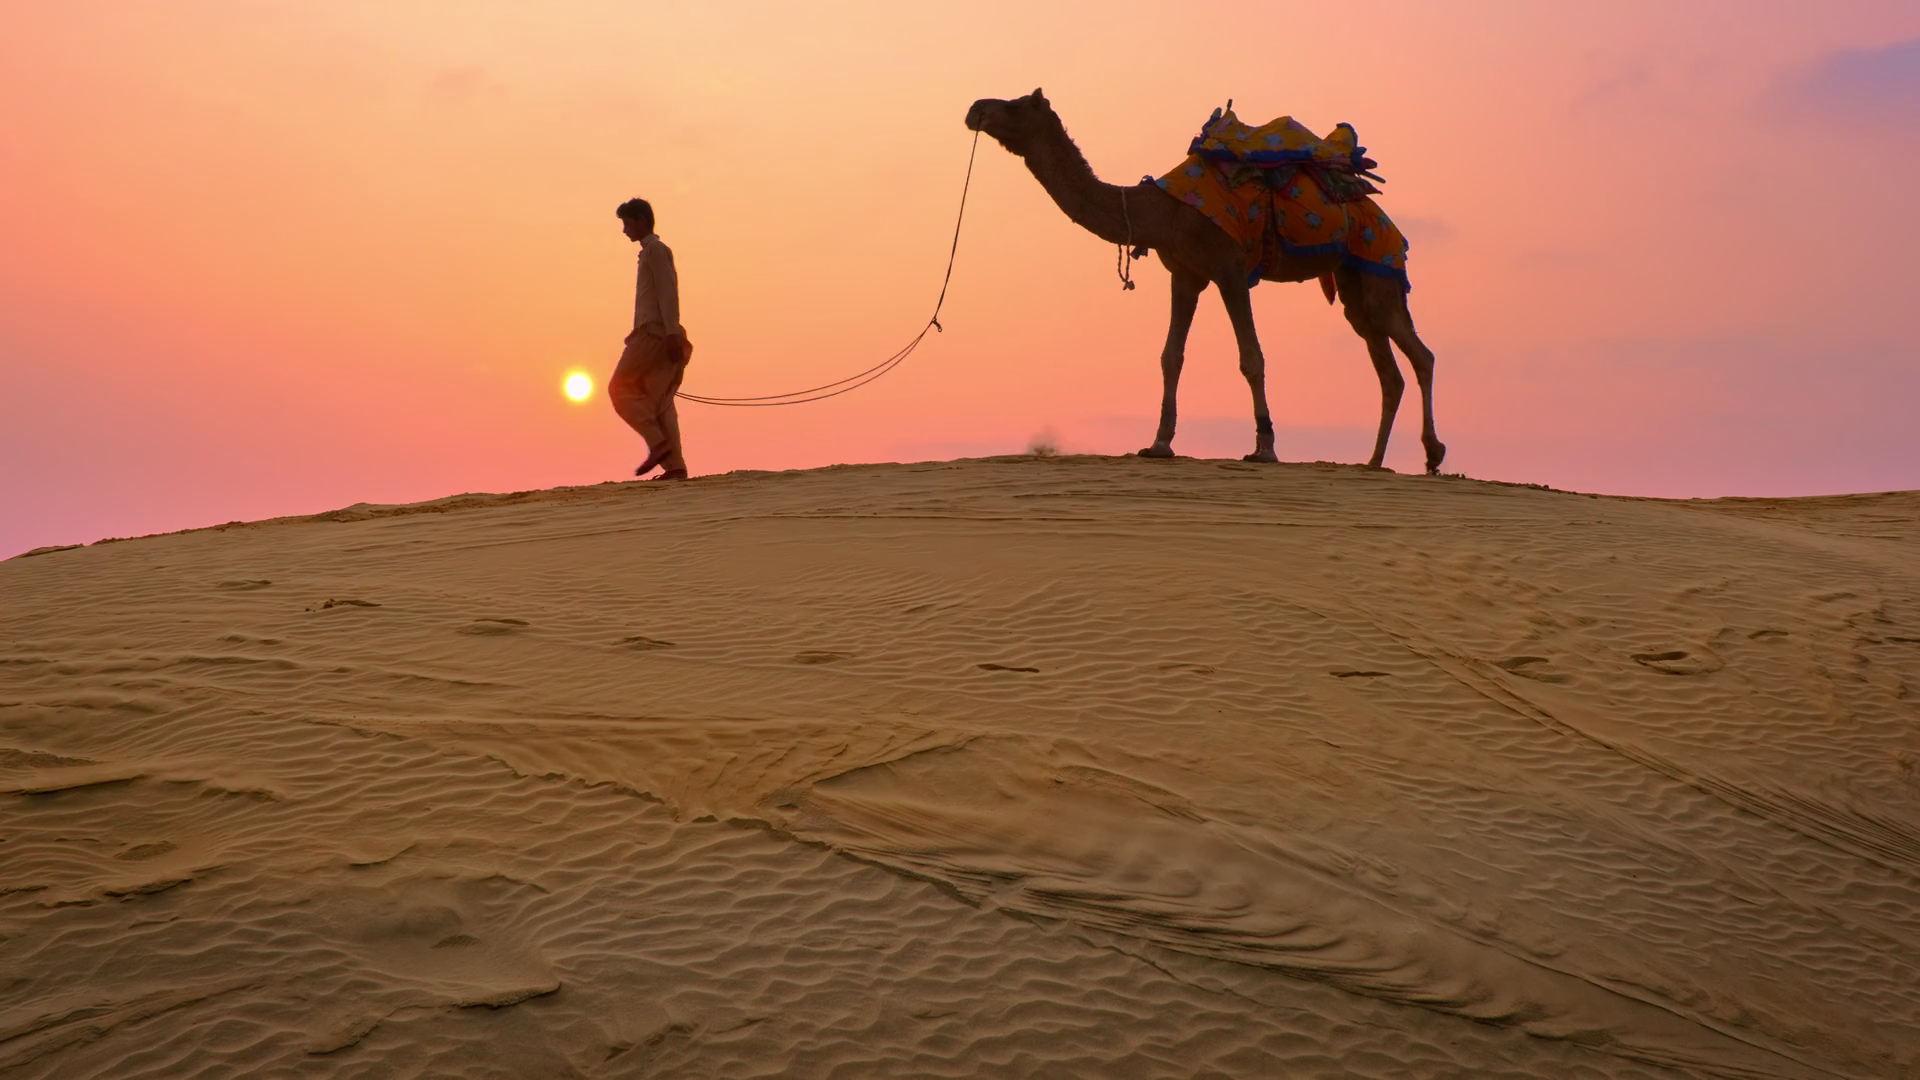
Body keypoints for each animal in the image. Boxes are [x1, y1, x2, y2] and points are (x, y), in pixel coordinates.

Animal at [965, 90, 1445, 473]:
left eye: (1014, 105)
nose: (975, 109)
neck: (1162, 212)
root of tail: (1386, 219)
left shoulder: (1230, 270)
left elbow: (1251, 356)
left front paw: (1265, 448)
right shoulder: (1186, 274)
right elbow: (1170, 356)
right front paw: (1158, 444)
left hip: (1378, 263)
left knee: (1420, 353)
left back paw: (1433, 455)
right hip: (1352, 280)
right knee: (1386, 367)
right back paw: (1375, 461)